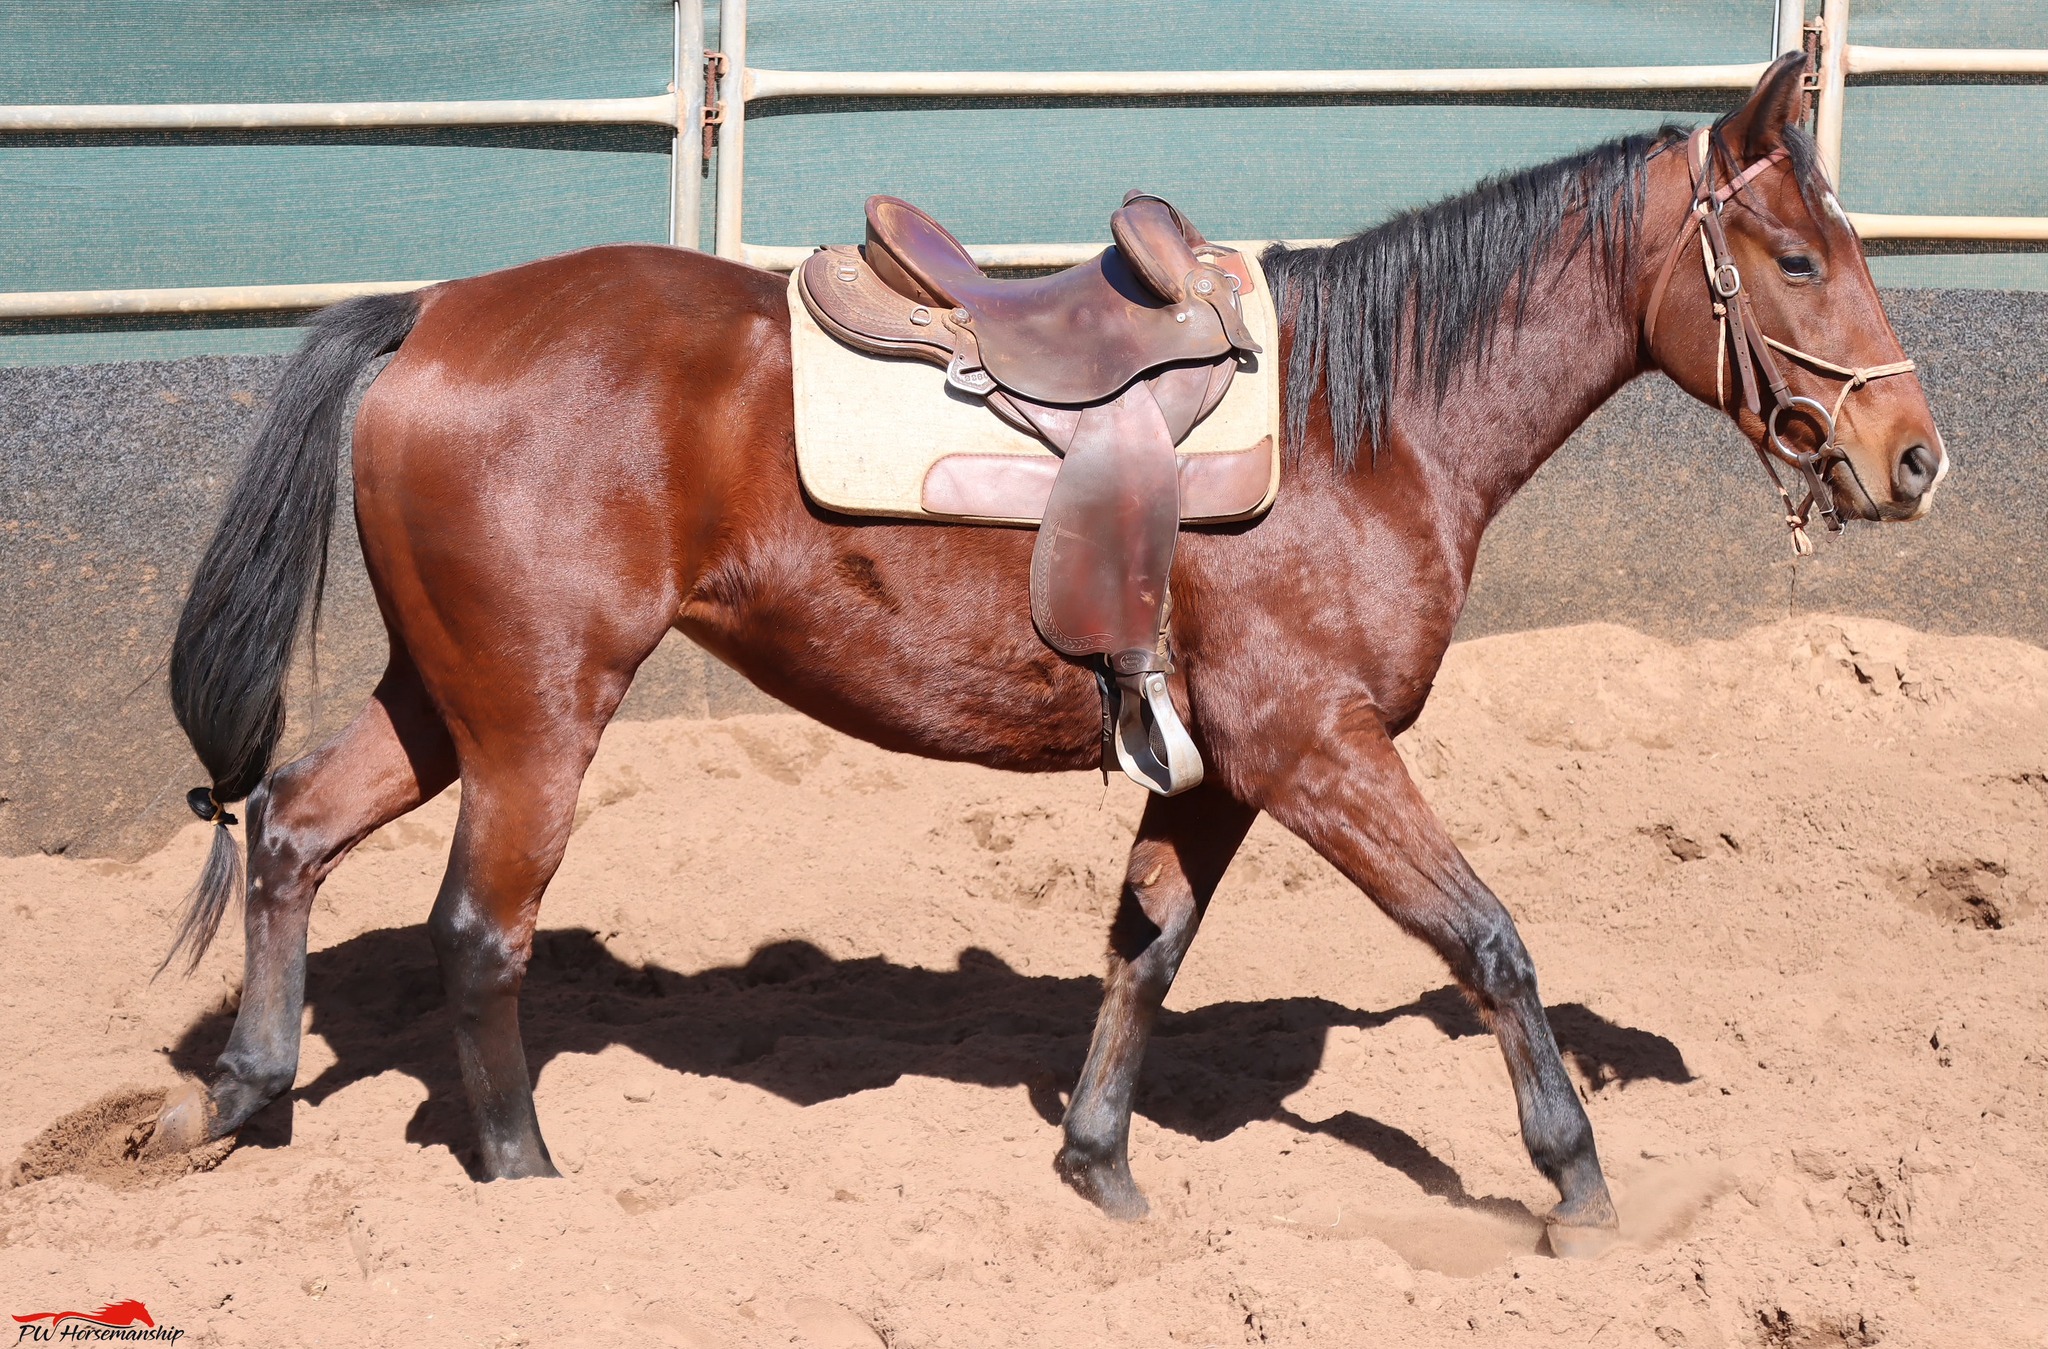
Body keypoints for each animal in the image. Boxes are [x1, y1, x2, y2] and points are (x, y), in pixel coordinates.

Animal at [149, 55, 1942, 1257]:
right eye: (1796, 259)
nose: (1913, 456)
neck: (1362, 429)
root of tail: (434, 313)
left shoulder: (1220, 768)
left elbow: (1143, 952)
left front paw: (1099, 1164)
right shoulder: (1316, 746)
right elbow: (1488, 939)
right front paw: (1576, 1179)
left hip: (446, 696)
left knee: (292, 830)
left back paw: (241, 1089)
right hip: (538, 713)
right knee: (479, 931)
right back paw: (521, 1180)